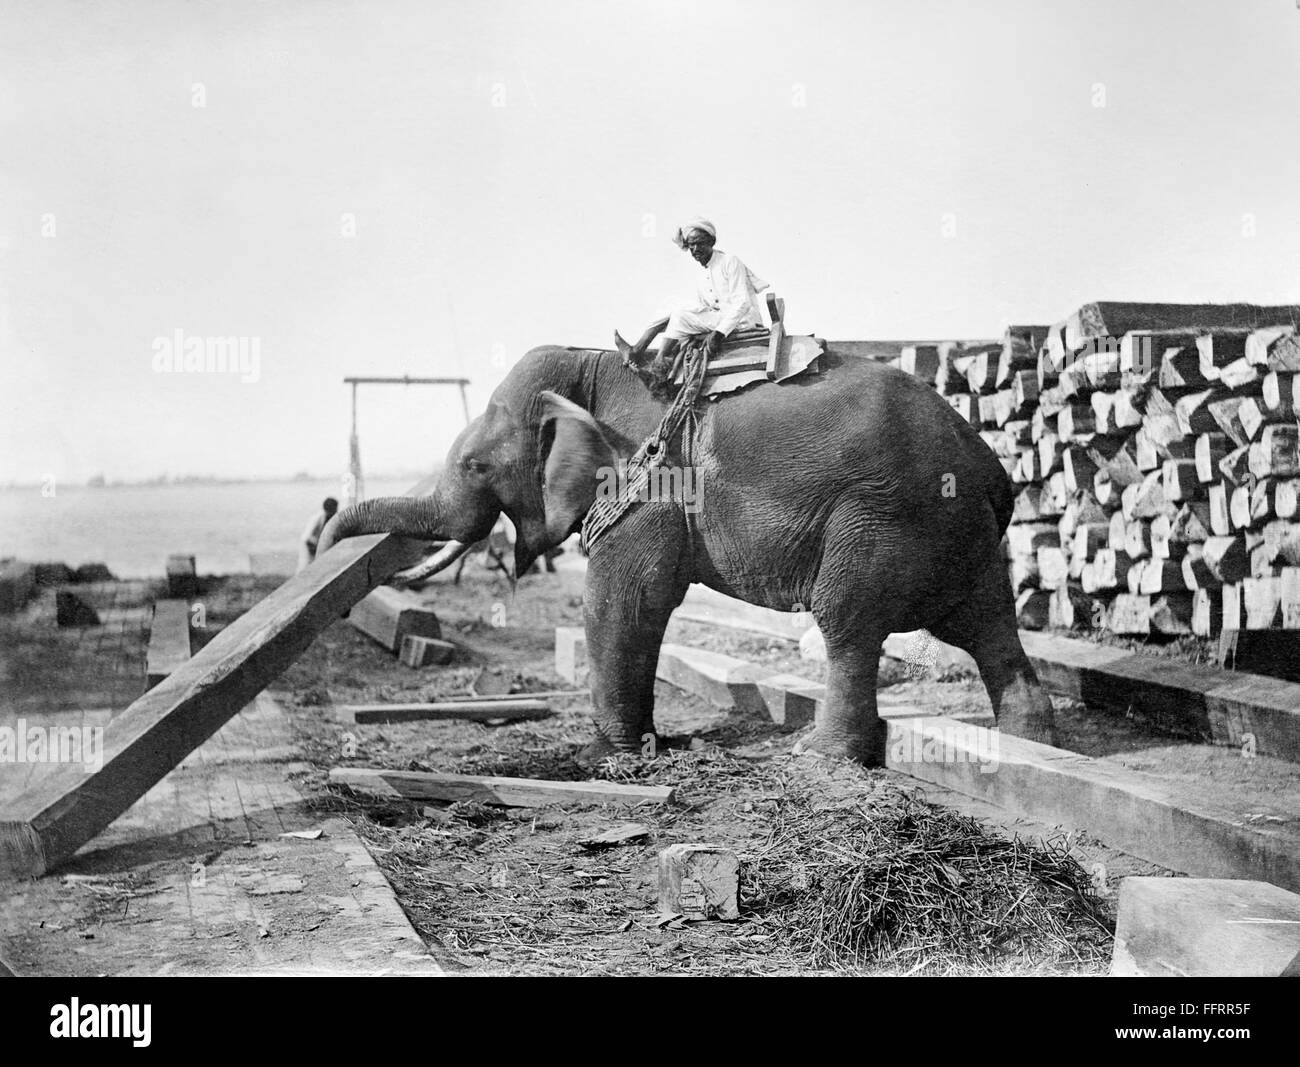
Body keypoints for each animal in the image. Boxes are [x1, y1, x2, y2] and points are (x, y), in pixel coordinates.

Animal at [315, 340, 1057, 765]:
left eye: (475, 466)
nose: (323, 547)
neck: (592, 366)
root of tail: (989, 466)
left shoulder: (649, 485)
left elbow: (626, 602)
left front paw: (608, 760)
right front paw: (648, 748)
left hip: (881, 519)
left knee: (848, 624)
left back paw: (816, 757)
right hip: (961, 537)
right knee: (988, 626)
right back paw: (1024, 743)